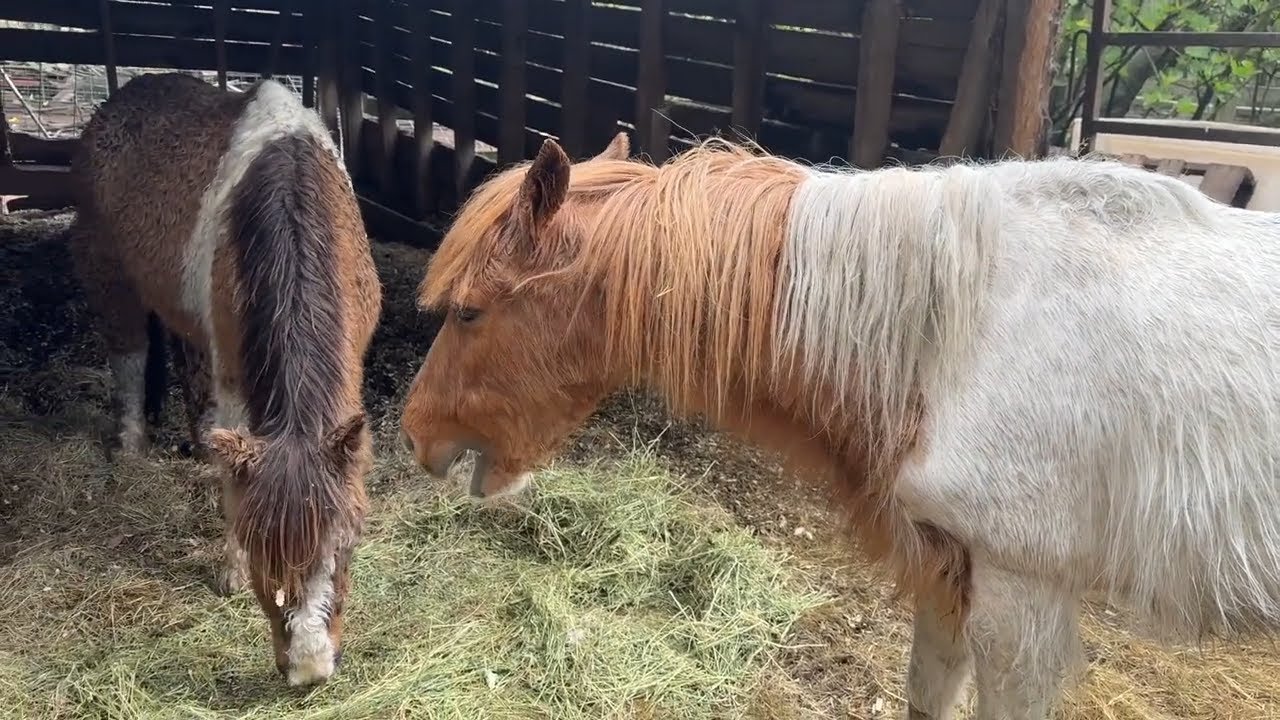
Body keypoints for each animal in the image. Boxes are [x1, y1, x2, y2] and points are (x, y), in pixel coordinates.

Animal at [70, 72, 382, 686]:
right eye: (263, 548)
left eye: (345, 546)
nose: (309, 669)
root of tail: (116, 102)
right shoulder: (238, 381)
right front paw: (232, 571)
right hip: (112, 281)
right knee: (130, 359)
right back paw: (131, 447)